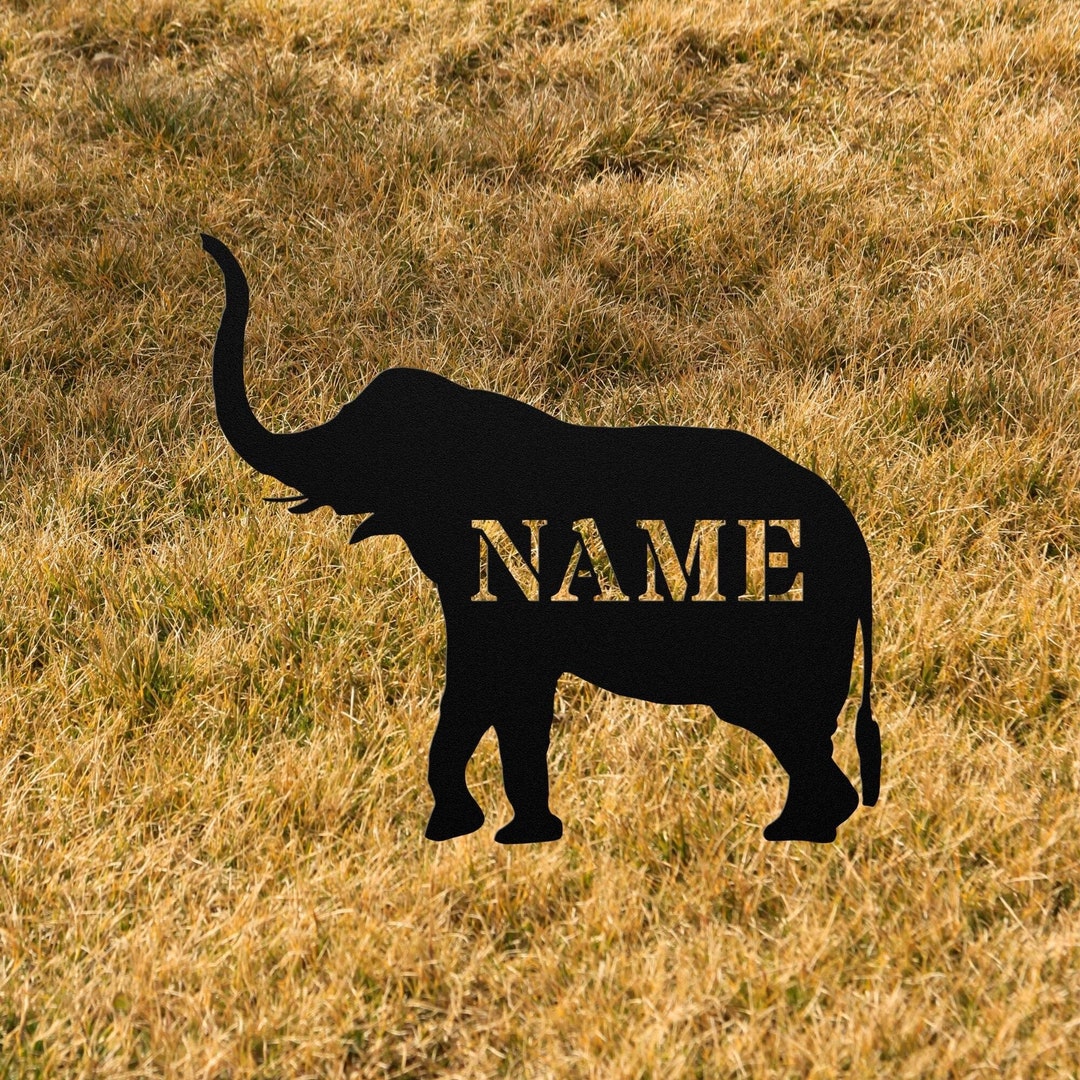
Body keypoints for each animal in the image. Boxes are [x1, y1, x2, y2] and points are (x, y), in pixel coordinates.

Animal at [201, 234, 880, 844]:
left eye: (367, 447)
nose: (208, 244)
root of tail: (857, 545)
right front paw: (504, 833)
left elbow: (488, 690)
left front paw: (475, 832)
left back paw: (795, 834)